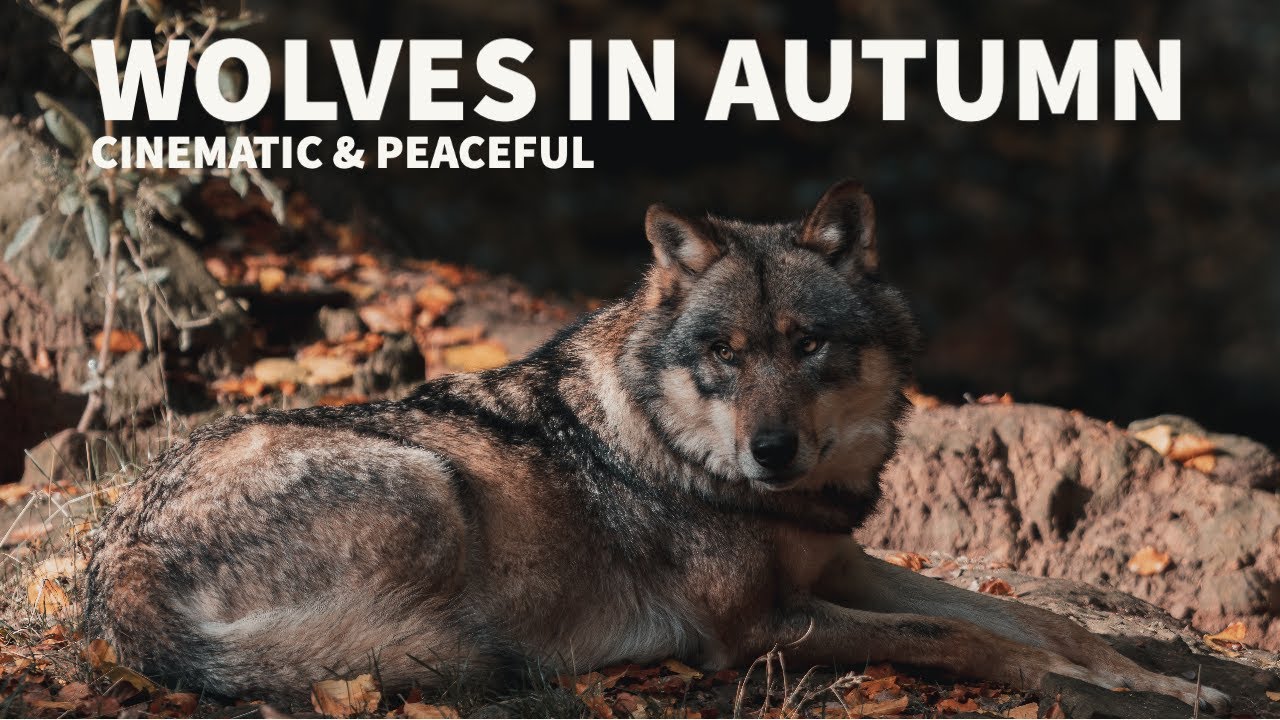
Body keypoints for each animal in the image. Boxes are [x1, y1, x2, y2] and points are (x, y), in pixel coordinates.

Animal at [86, 181, 1228, 710]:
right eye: (722, 352)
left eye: (807, 345)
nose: (772, 450)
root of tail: (112, 568)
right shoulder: (756, 627)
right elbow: (965, 638)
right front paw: (1092, 685)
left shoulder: (841, 565)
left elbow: (1037, 615)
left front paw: (1155, 680)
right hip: (432, 480)